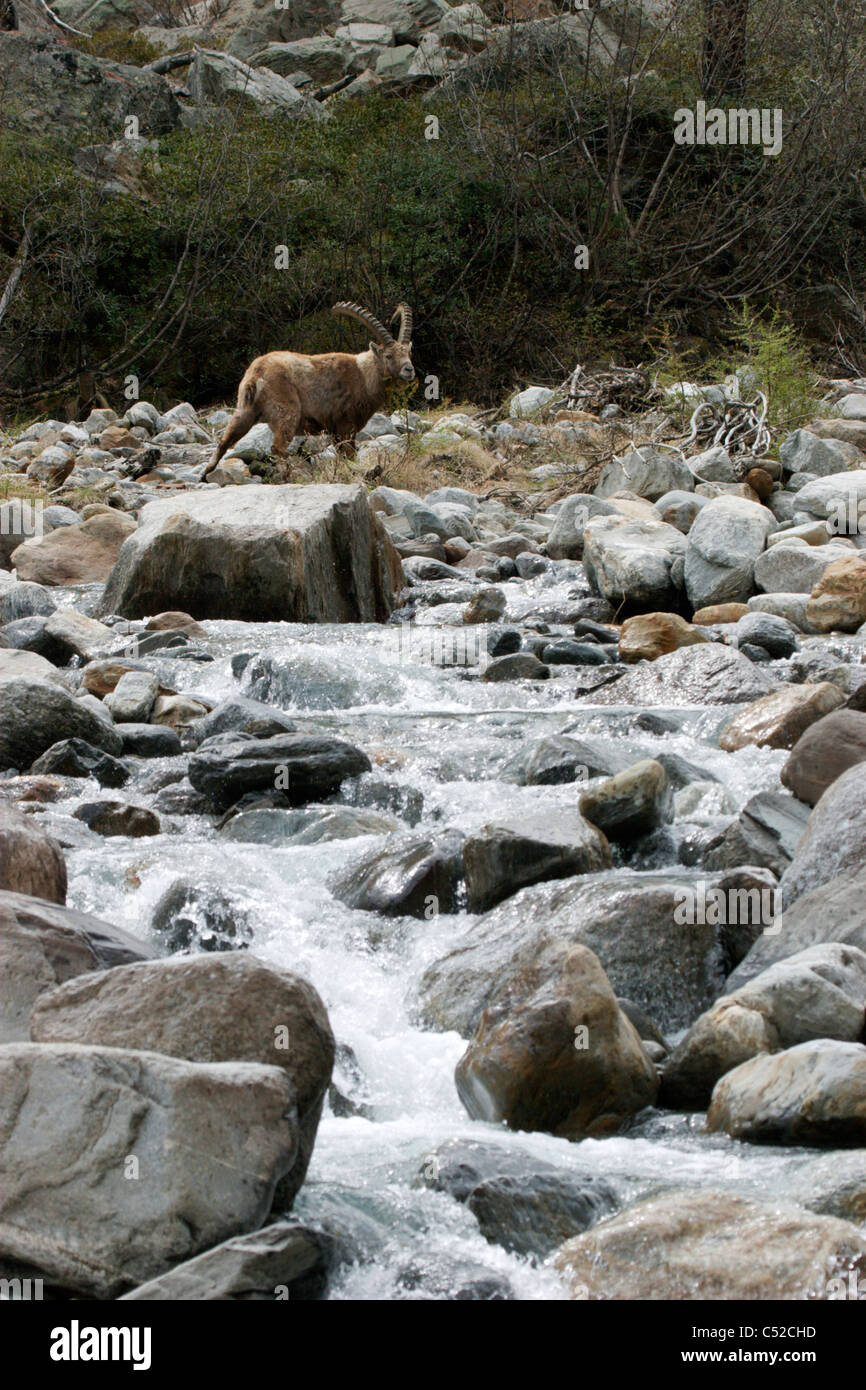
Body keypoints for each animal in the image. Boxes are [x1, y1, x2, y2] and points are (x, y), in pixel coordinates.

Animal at [202, 301, 415, 481]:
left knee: (225, 440)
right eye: (388, 355)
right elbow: (349, 455)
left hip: (245, 409)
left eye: (408, 352)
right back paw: (287, 476)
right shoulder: (345, 424)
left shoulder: (335, 430)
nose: (409, 370)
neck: (363, 375)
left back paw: (205, 474)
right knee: (277, 447)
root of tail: (257, 373)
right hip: (287, 410)